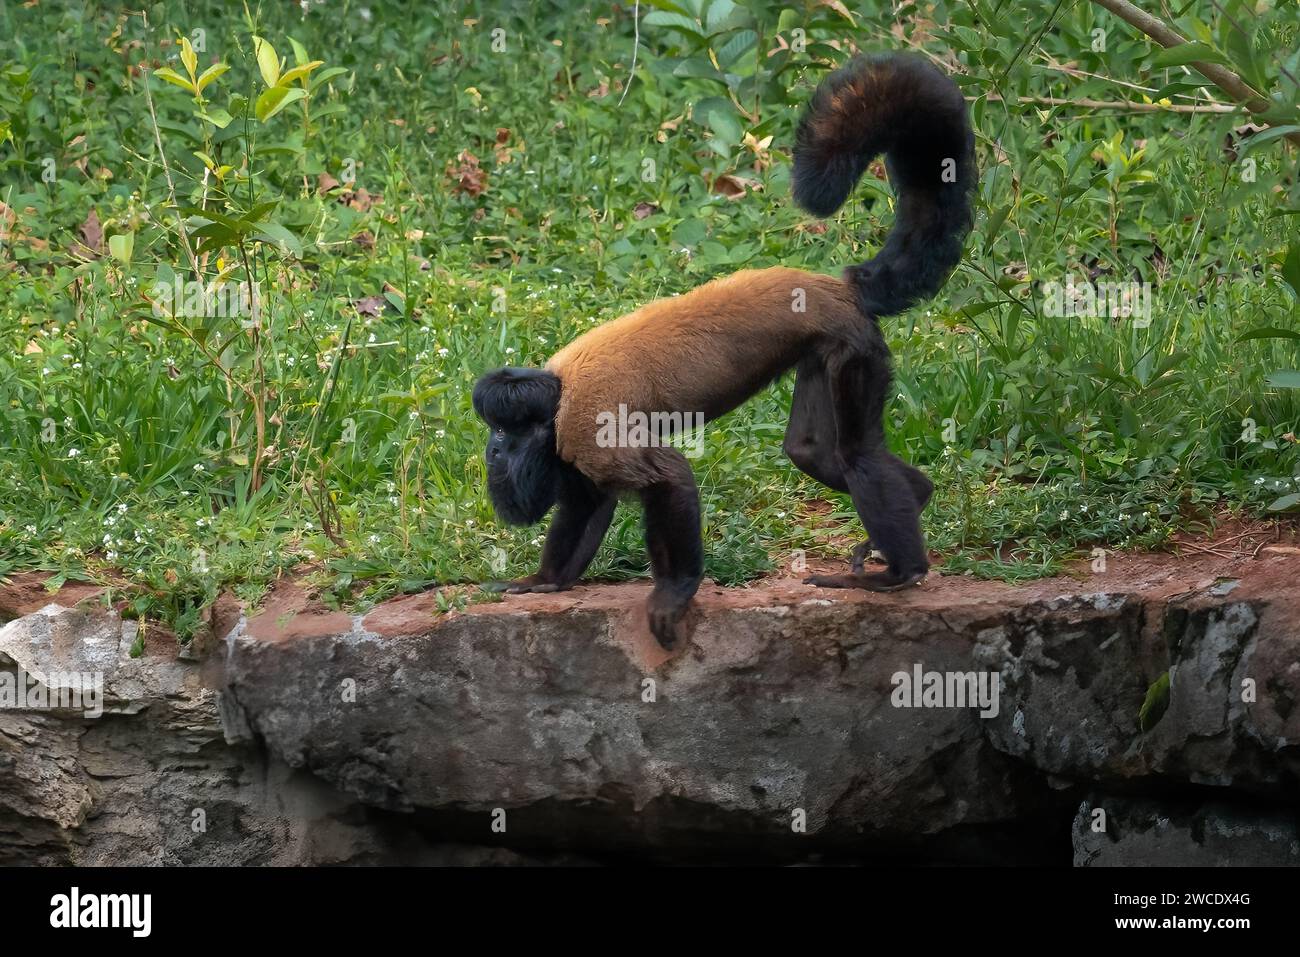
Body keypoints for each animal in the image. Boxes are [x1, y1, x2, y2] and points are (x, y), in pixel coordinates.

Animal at [473, 52, 976, 648]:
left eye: (502, 434)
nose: (491, 450)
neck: (555, 398)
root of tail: (840, 287)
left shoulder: (586, 428)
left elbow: (668, 477)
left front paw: (674, 593)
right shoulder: (570, 453)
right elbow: (588, 503)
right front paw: (547, 581)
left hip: (853, 346)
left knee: (856, 456)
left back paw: (902, 572)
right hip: (824, 350)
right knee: (811, 451)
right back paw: (917, 494)